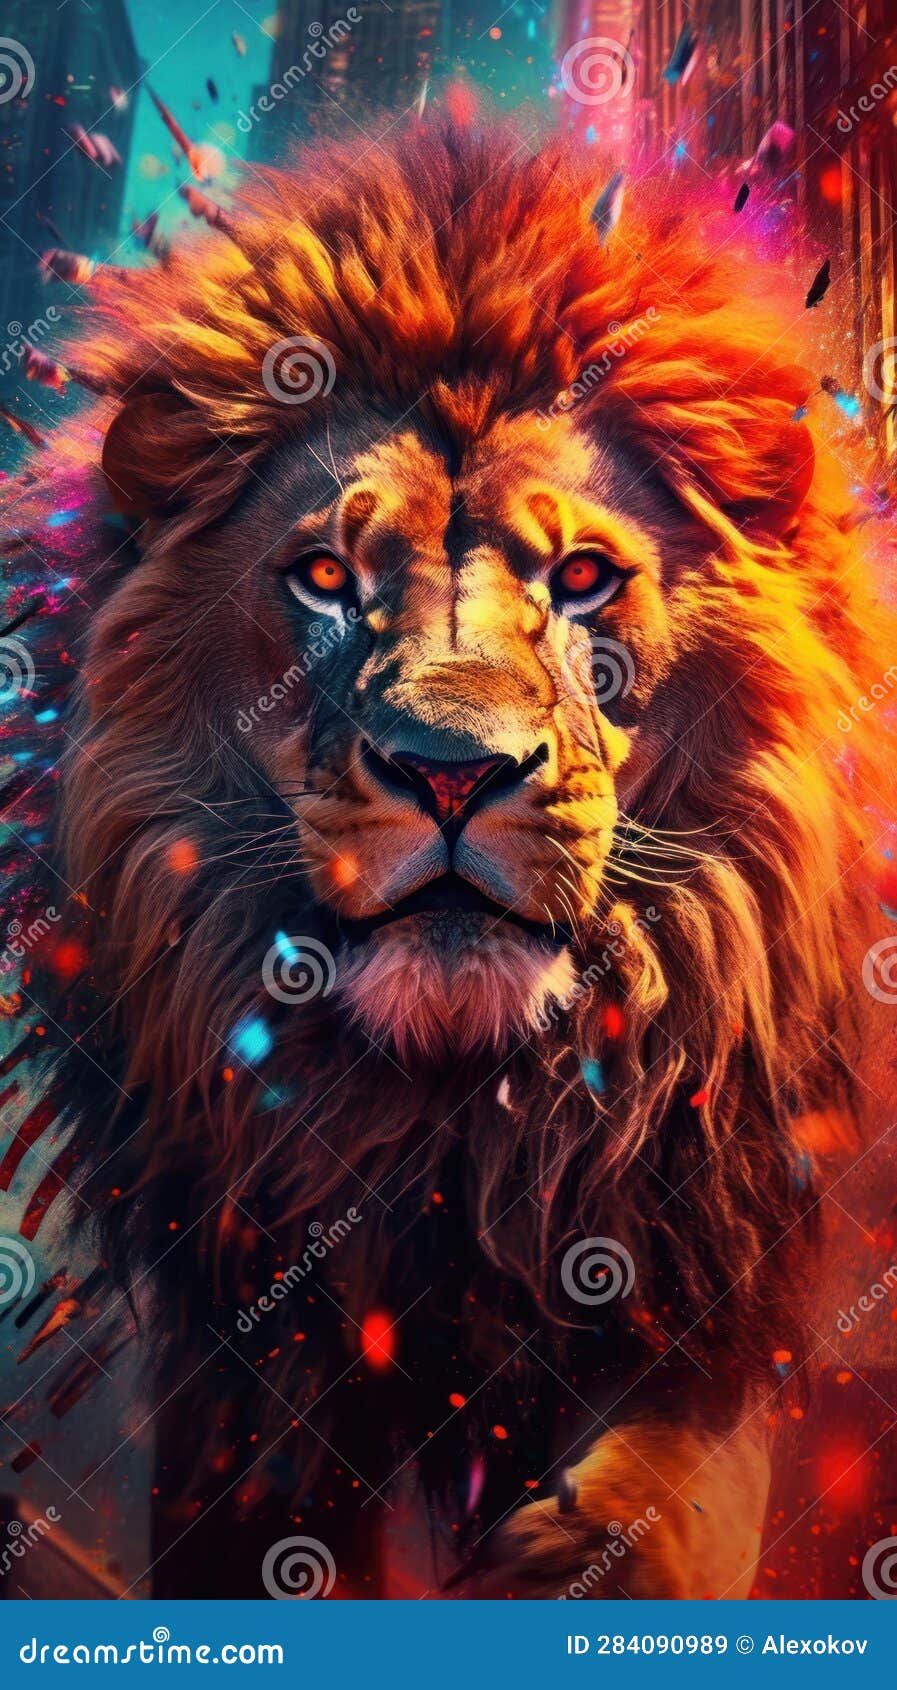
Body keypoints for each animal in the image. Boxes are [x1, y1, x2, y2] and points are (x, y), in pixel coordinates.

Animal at [0, 119, 892, 1600]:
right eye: (321, 576)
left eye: (584, 578)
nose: (452, 768)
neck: (451, 1122)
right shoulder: (240, 1342)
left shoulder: (703, 1270)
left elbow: (650, 1521)